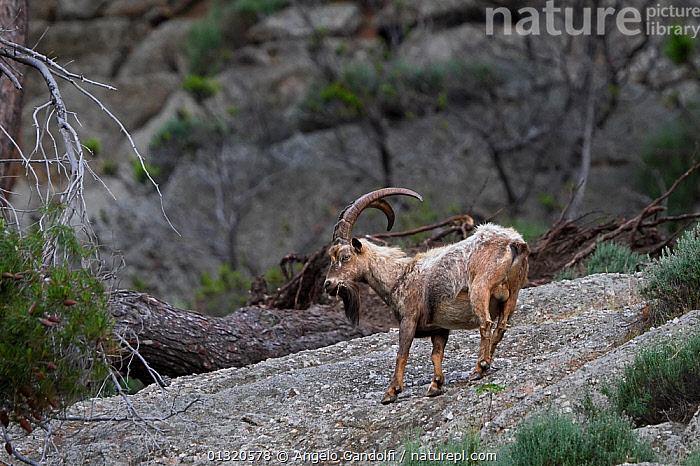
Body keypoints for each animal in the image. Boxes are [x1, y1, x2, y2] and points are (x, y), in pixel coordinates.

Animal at [324, 188, 529, 404]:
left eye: (345, 257)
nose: (328, 284)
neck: (399, 276)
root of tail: (514, 242)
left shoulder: (408, 319)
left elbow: (402, 352)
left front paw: (391, 392)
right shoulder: (439, 327)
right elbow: (436, 354)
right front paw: (435, 385)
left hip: (480, 289)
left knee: (486, 325)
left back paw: (479, 368)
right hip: (513, 294)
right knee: (500, 327)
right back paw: (485, 364)